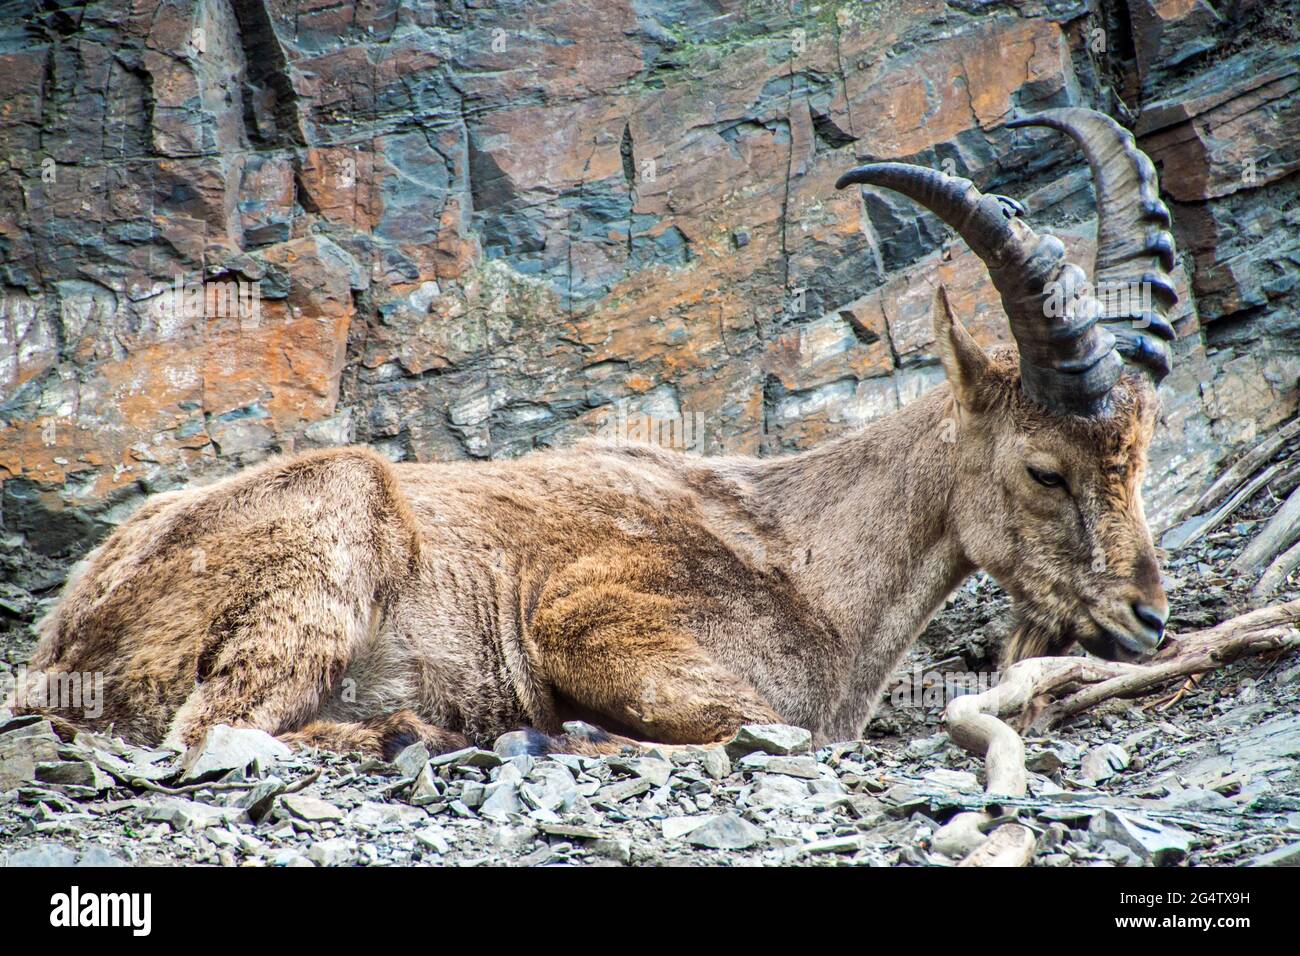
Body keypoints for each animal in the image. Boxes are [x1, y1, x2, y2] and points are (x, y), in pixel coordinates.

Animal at [9, 109, 1181, 759]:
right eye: (1045, 468)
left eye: (1140, 459)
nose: (1149, 619)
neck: (813, 564)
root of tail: (60, 646)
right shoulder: (594, 615)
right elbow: (755, 721)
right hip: (331, 526)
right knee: (216, 727)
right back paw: (425, 732)